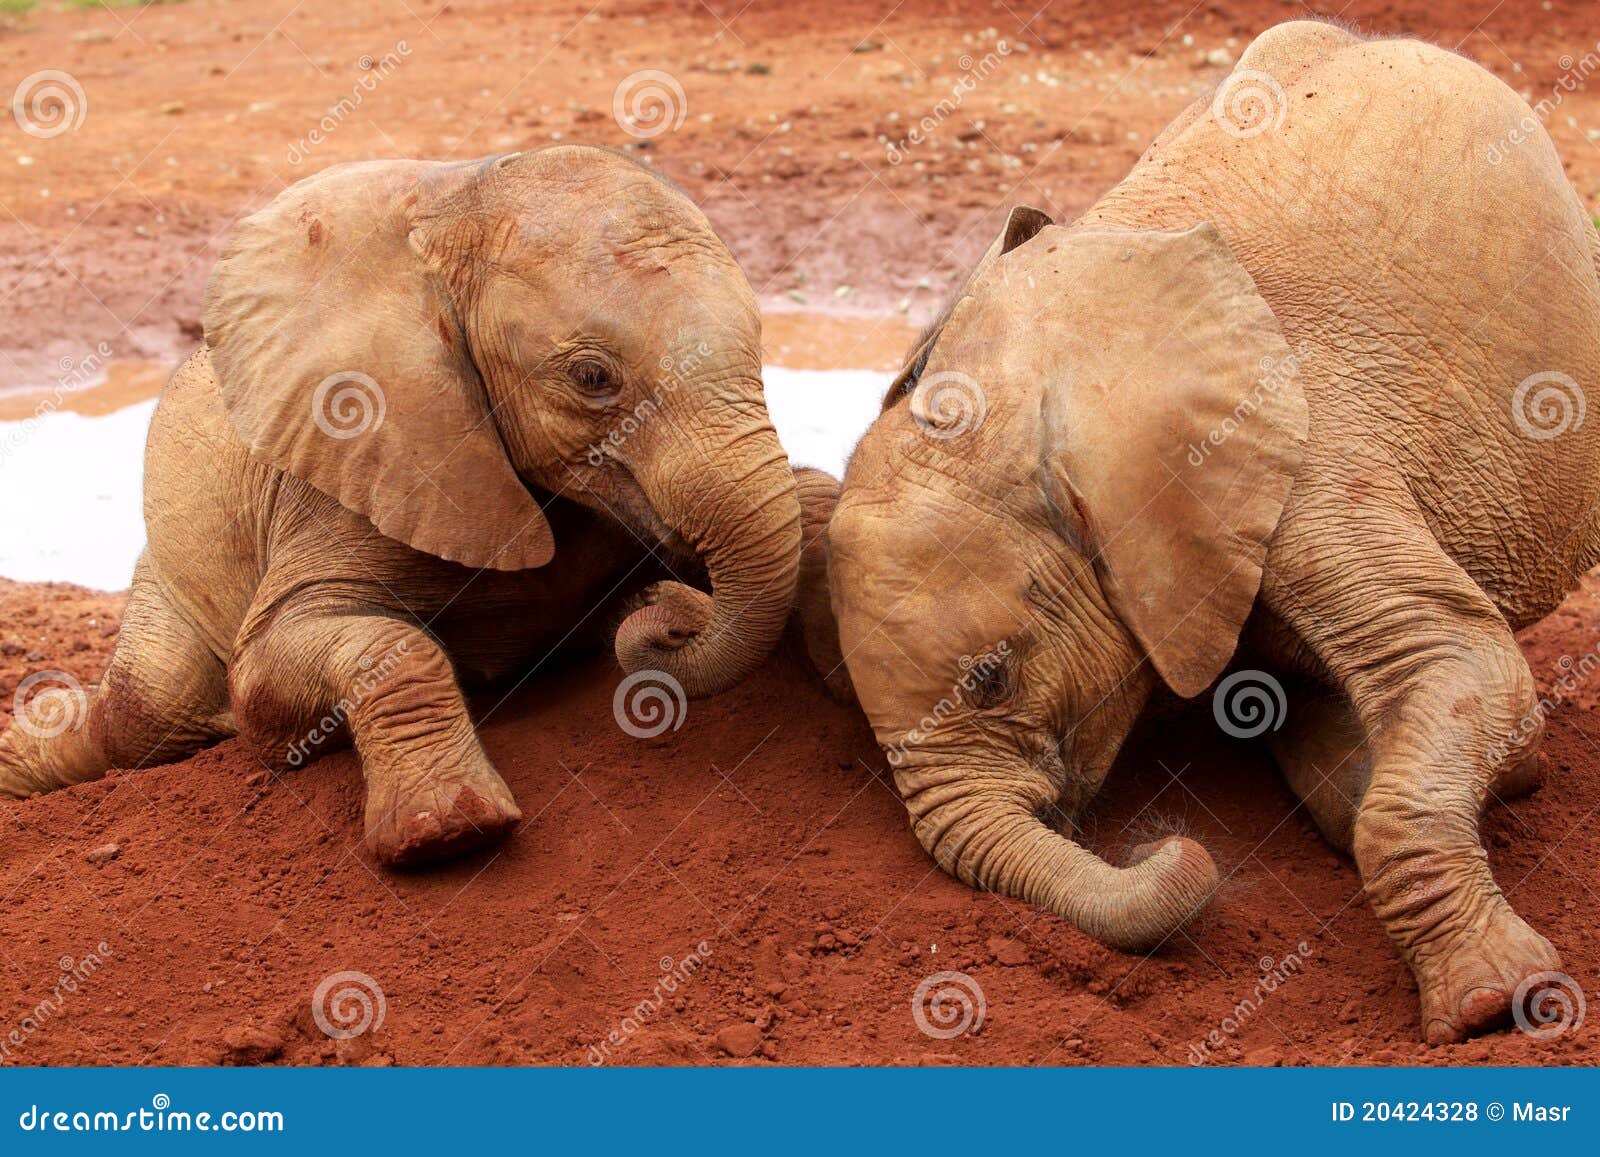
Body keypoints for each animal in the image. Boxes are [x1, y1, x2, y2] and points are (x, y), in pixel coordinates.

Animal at [0, 146, 809, 867]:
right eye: (591, 378)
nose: (663, 626)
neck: (451, 207)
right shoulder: (350, 457)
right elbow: (276, 672)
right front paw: (449, 832)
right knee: (144, 714)